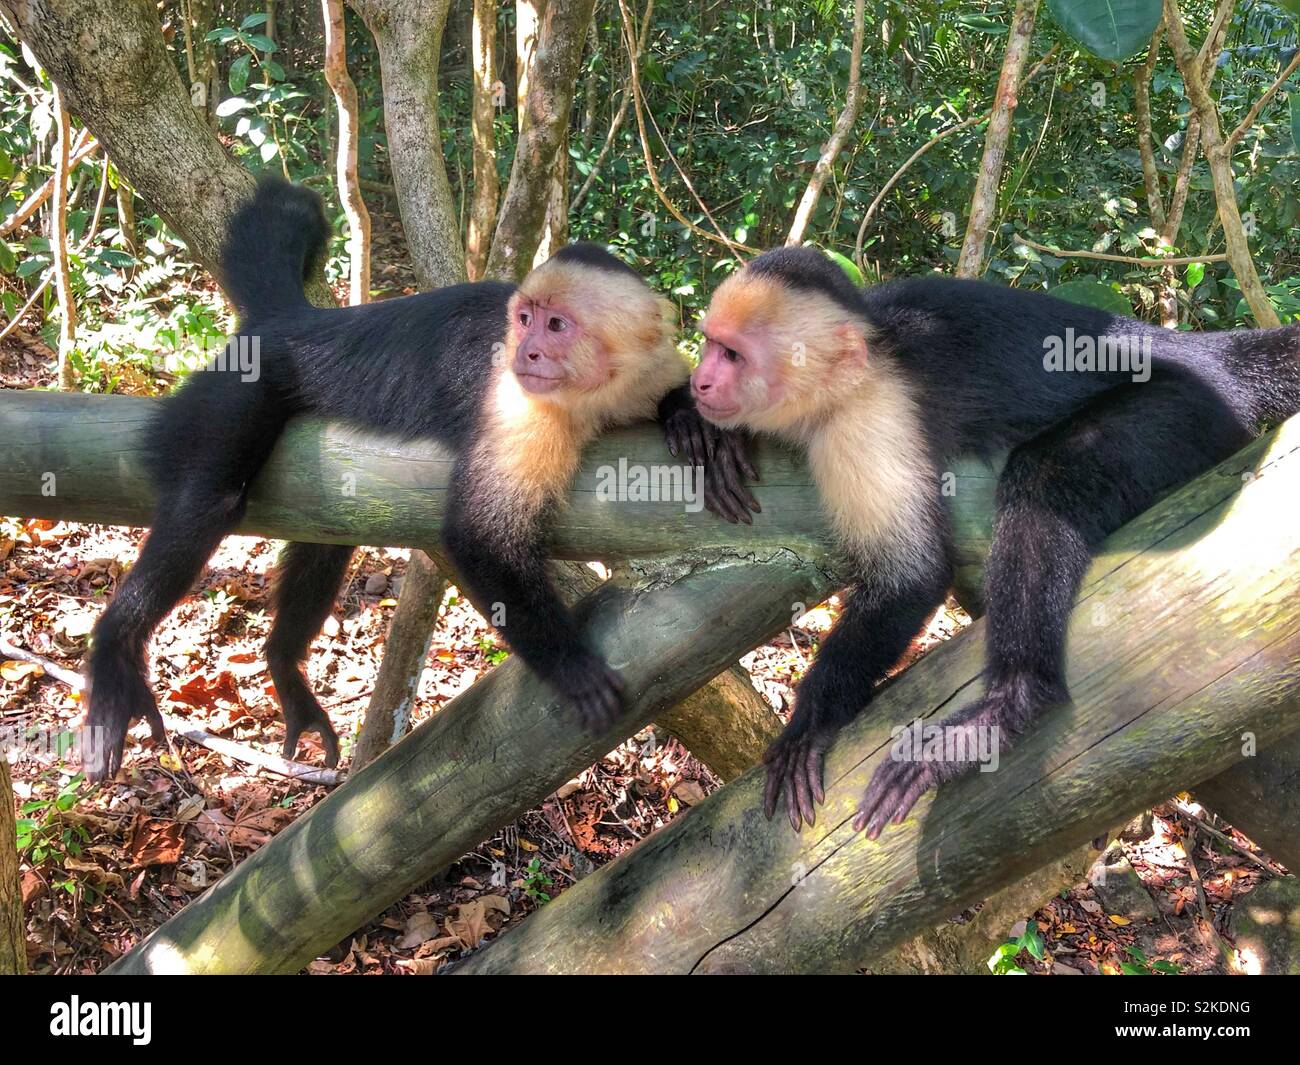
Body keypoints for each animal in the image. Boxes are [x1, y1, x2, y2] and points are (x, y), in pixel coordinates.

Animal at [81, 178, 747, 781]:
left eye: (556, 326)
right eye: (525, 320)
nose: (527, 352)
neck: (595, 393)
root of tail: (297, 322)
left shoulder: (642, 367)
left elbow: (674, 389)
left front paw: (692, 422)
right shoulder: (520, 404)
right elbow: (479, 535)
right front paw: (571, 668)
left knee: (326, 536)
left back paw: (283, 663)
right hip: (241, 383)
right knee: (210, 501)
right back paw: (115, 649)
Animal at [689, 246, 1300, 837]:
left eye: (734, 356)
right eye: (709, 344)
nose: (700, 382)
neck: (862, 359)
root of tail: (1198, 353)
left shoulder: (868, 423)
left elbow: (914, 577)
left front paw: (812, 718)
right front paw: (696, 428)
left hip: (1185, 409)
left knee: (1044, 478)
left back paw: (1007, 707)